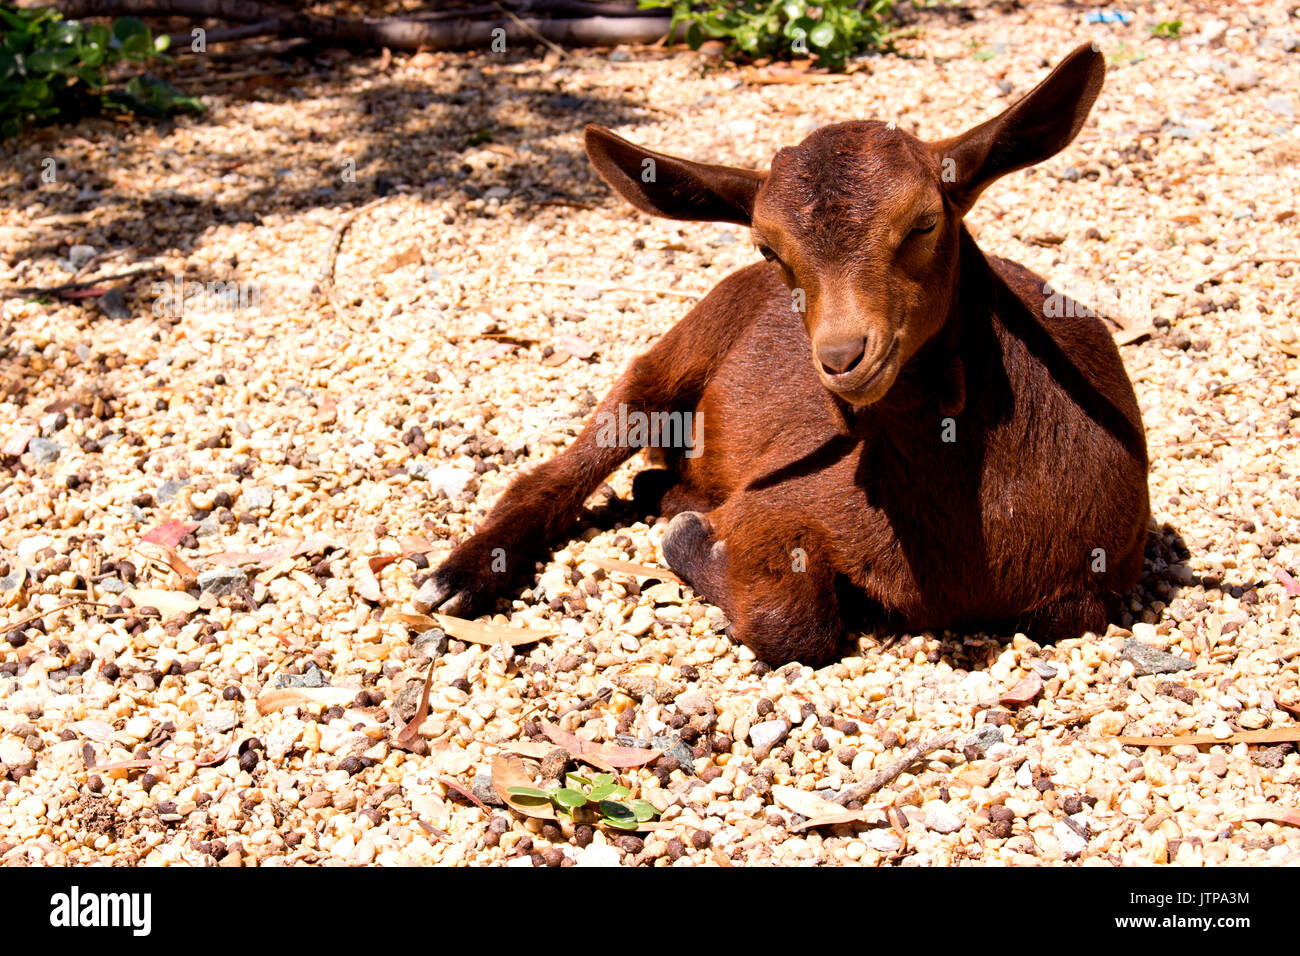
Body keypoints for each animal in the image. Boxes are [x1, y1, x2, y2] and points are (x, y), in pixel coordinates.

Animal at [424, 42, 1150, 666]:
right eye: (770, 248)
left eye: (924, 223)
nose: (843, 357)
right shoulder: (772, 510)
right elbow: (792, 624)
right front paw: (690, 537)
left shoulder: (1098, 578)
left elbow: (1064, 615)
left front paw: (682, 521)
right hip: (682, 348)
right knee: (576, 453)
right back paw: (461, 575)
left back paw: (661, 490)